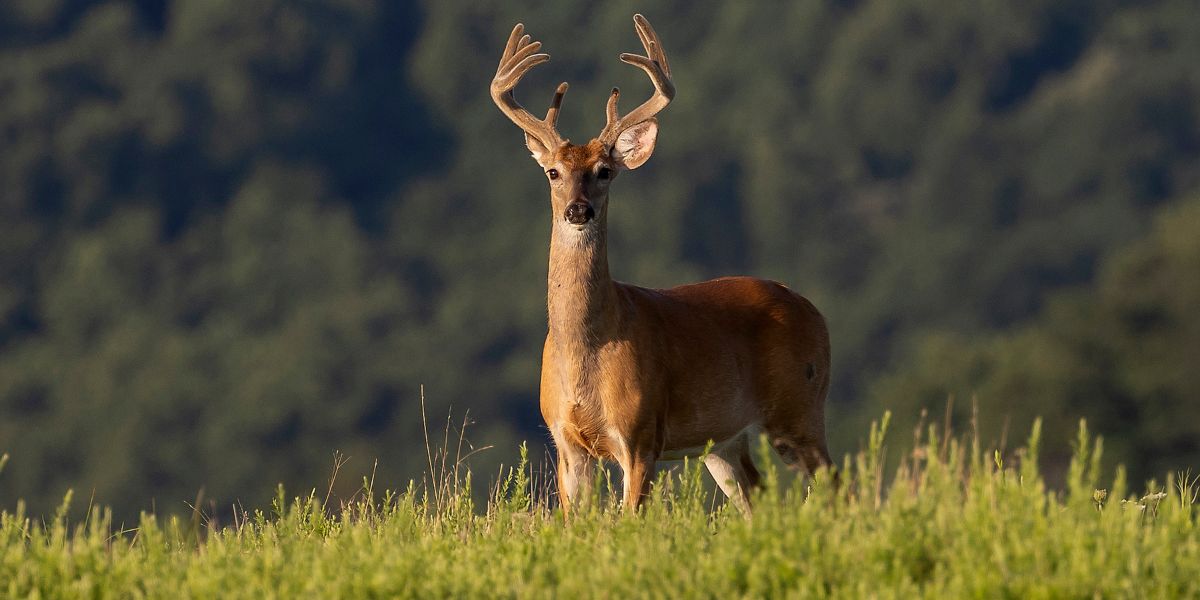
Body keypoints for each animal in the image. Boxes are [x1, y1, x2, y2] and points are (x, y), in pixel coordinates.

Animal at [490, 14, 834, 514]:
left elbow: (631, 519)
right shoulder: (567, 442)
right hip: (723, 439)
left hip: (800, 406)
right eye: (553, 172)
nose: (578, 210)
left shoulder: (641, 434)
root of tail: (813, 310)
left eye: (605, 171)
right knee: (754, 493)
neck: (587, 349)